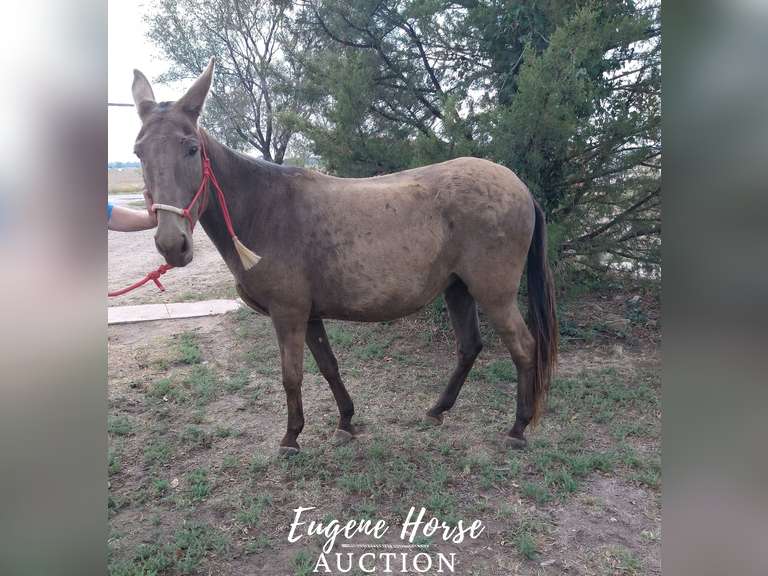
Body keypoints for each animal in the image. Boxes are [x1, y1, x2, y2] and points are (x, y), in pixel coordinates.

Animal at [131, 58, 558, 456]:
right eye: (138, 153)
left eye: (191, 148)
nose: (172, 244)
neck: (265, 208)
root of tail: (519, 186)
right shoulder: (309, 314)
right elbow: (328, 366)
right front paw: (346, 422)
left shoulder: (288, 314)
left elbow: (292, 374)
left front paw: (291, 438)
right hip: (458, 289)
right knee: (469, 346)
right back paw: (438, 410)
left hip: (494, 293)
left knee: (524, 347)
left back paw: (517, 428)